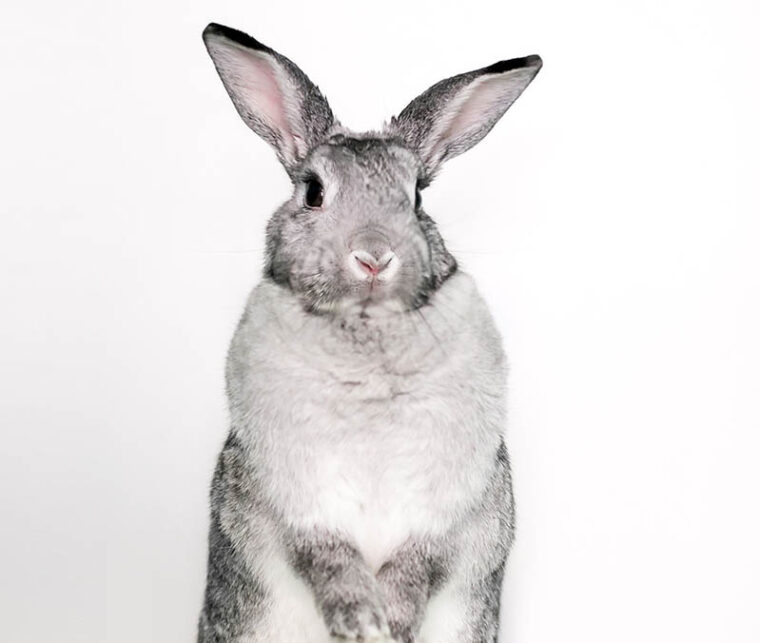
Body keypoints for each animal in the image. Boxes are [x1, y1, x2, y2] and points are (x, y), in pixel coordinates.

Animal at [197, 22, 542, 643]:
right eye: (313, 191)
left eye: (417, 196)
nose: (374, 256)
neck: (368, 330)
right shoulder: (299, 496)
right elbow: (329, 558)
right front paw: (361, 624)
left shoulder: (443, 506)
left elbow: (415, 567)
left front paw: (393, 626)